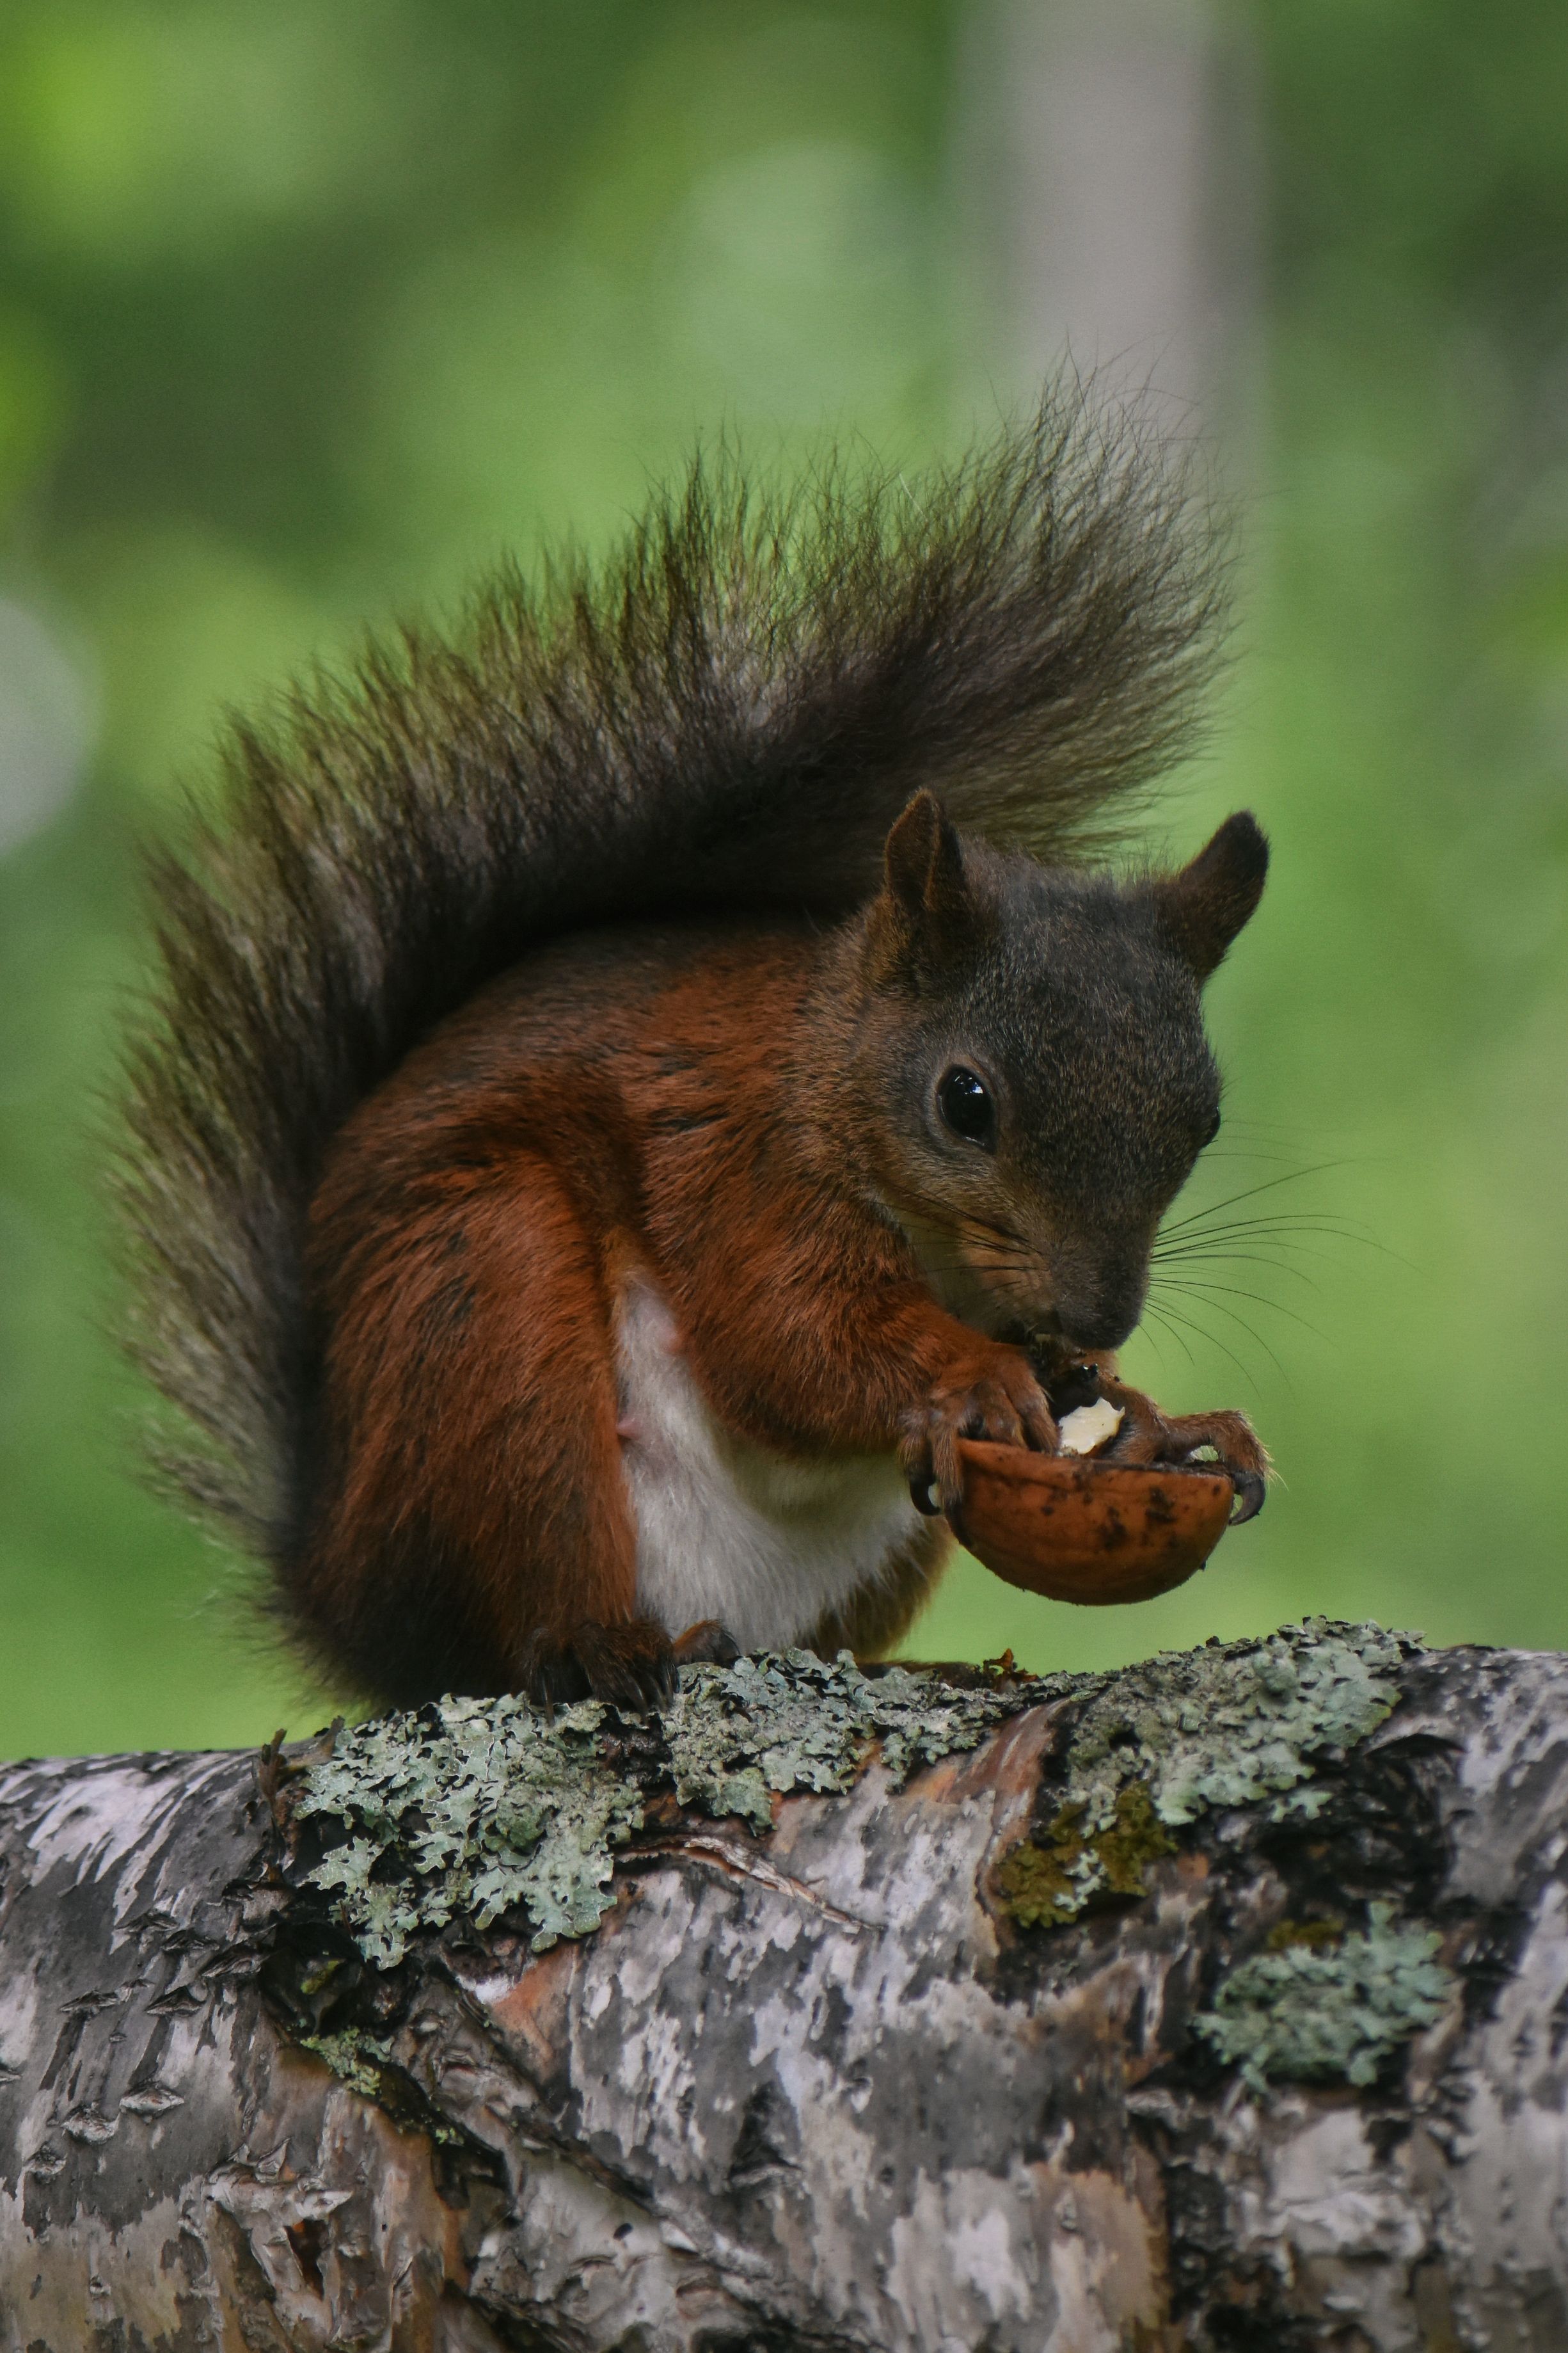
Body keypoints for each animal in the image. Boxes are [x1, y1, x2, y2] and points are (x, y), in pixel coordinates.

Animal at [117, 394, 1270, 1712]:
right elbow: (787, 1336)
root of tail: (355, 1611)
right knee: (531, 1607)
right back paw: (603, 1646)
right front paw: (972, 1379)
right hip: (483, 1310)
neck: (830, 1070)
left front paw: (1160, 1418)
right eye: (964, 1101)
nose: (1098, 1309)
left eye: (1204, 1119)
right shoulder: (742, 1164)